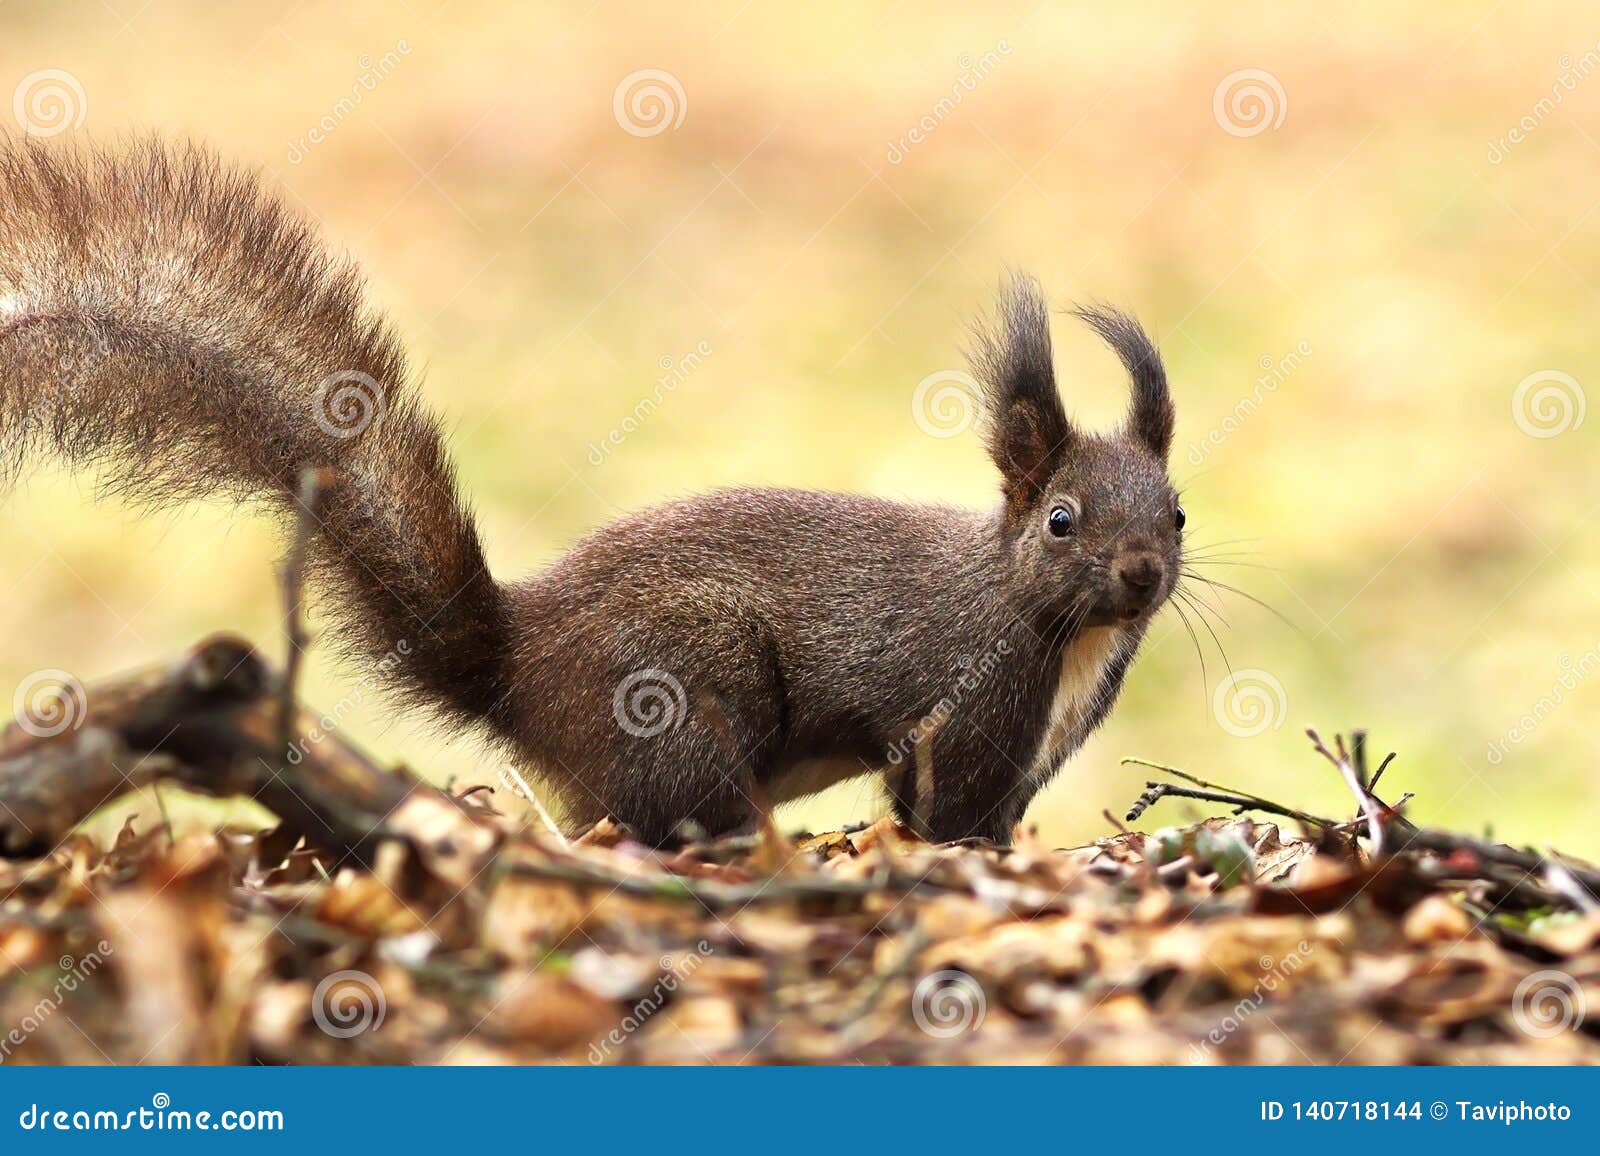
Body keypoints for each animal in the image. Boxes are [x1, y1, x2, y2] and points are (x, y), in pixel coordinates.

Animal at [0, 139, 1184, 846]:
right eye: (1061, 520)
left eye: (1176, 513)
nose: (1142, 573)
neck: (1061, 633)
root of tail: (519, 665)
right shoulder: (961, 706)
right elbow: (936, 811)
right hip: (682, 686)